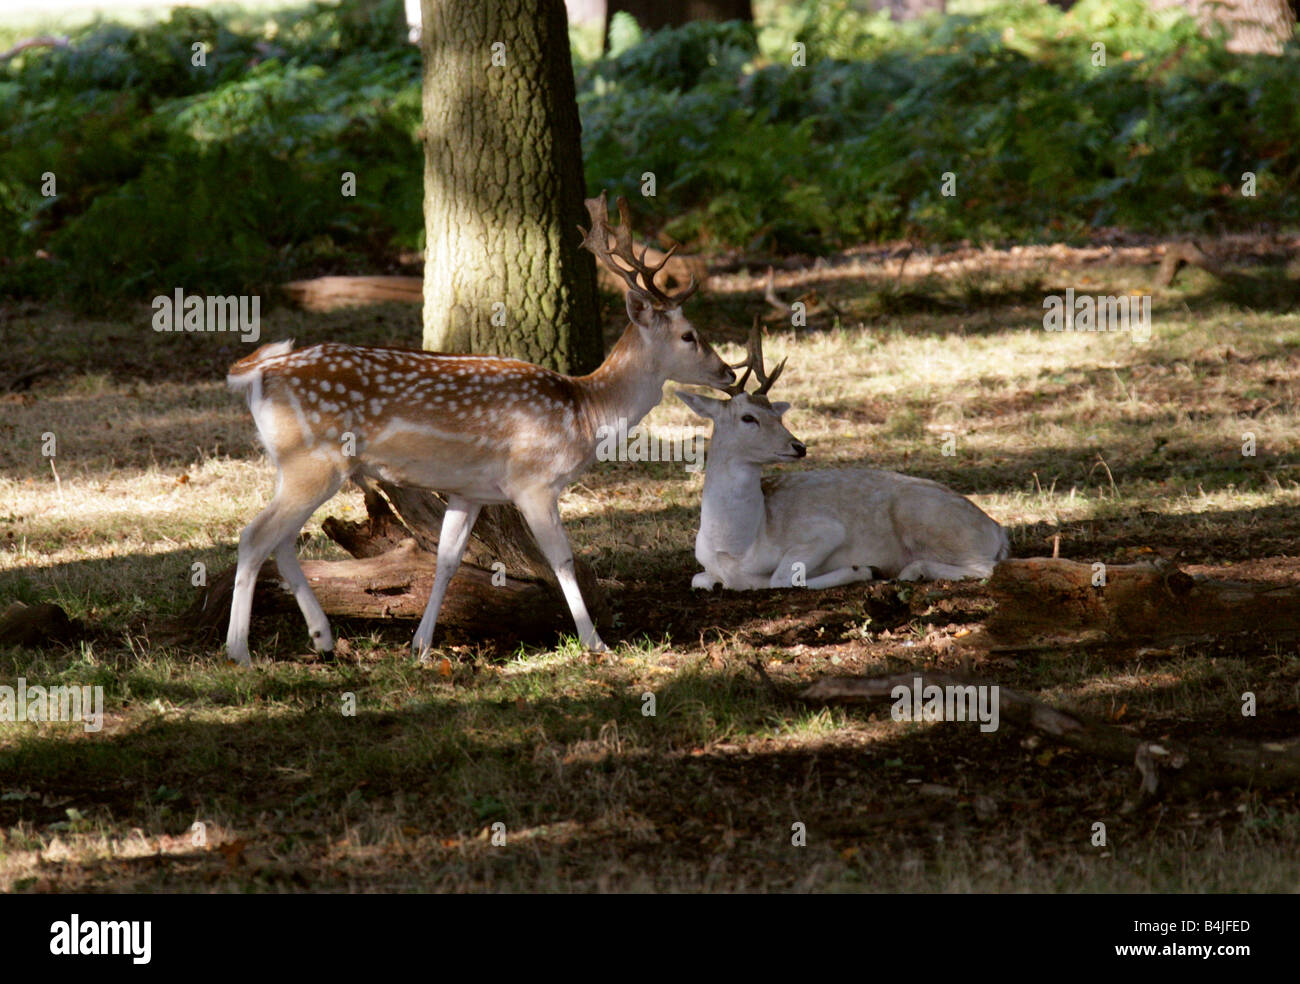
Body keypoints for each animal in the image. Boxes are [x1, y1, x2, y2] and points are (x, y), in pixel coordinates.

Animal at [224, 194, 736, 665]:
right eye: (689, 335)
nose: (729, 373)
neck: (584, 412)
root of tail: (256, 373)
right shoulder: (533, 482)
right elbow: (563, 560)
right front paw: (596, 642)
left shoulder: (469, 492)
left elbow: (447, 561)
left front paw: (421, 645)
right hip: (312, 460)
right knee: (254, 536)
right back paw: (240, 652)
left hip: (298, 465)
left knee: (281, 542)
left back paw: (323, 638)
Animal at [677, 330, 1009, 591]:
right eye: (748, 417)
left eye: (778, 415)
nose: (799, 446)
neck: (737, 543)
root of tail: (997, 531)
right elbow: (699, 579)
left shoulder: (825, 530)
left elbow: (780, 578)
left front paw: (862, 569)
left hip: (931, 521)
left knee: (986, 567)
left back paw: (911, 570)